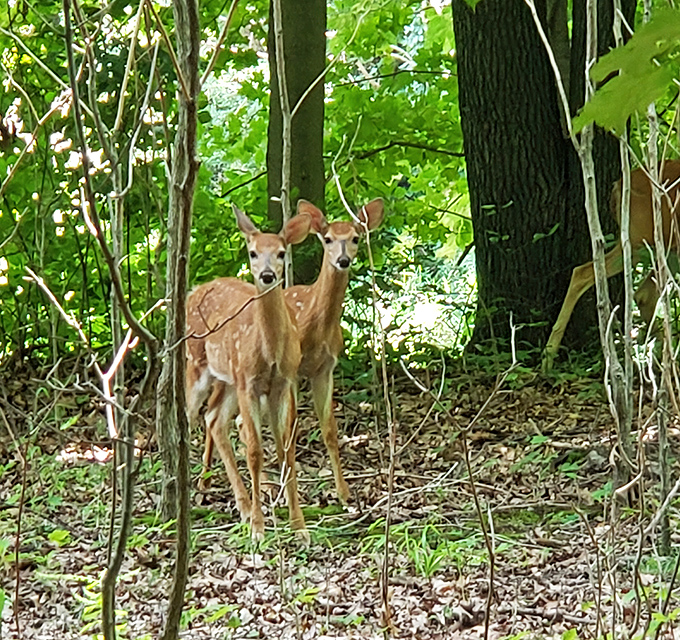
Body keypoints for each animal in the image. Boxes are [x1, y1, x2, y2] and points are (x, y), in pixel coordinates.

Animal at [186, 206, 312, 542]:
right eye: (252, 252)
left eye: (281, 252)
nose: (267, 275)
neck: (269, 353)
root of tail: (195, 289)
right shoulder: (249, 383)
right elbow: (255, 452)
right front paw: (258, 527)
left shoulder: (284, 382)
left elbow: (286, 450)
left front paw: (299, 526)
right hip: (197, 363)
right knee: (187, 417)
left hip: (229, 379)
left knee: (214, 419)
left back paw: (239, 503)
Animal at [200, 197, 385, 504]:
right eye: (328, 238)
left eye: (355, 238)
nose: (343, 260)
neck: (315, 322)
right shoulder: (294, 372)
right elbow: (293, 427)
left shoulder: (325, 368)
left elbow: (329, 430)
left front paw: (344, 493)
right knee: (230, 419)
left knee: (225, 418)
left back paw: (214, 481)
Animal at [542, 161, 680, 370]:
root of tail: (618, 186)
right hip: (644, 239)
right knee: (584, 272)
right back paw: (548, 357)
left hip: (660, 246)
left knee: (642, 294)